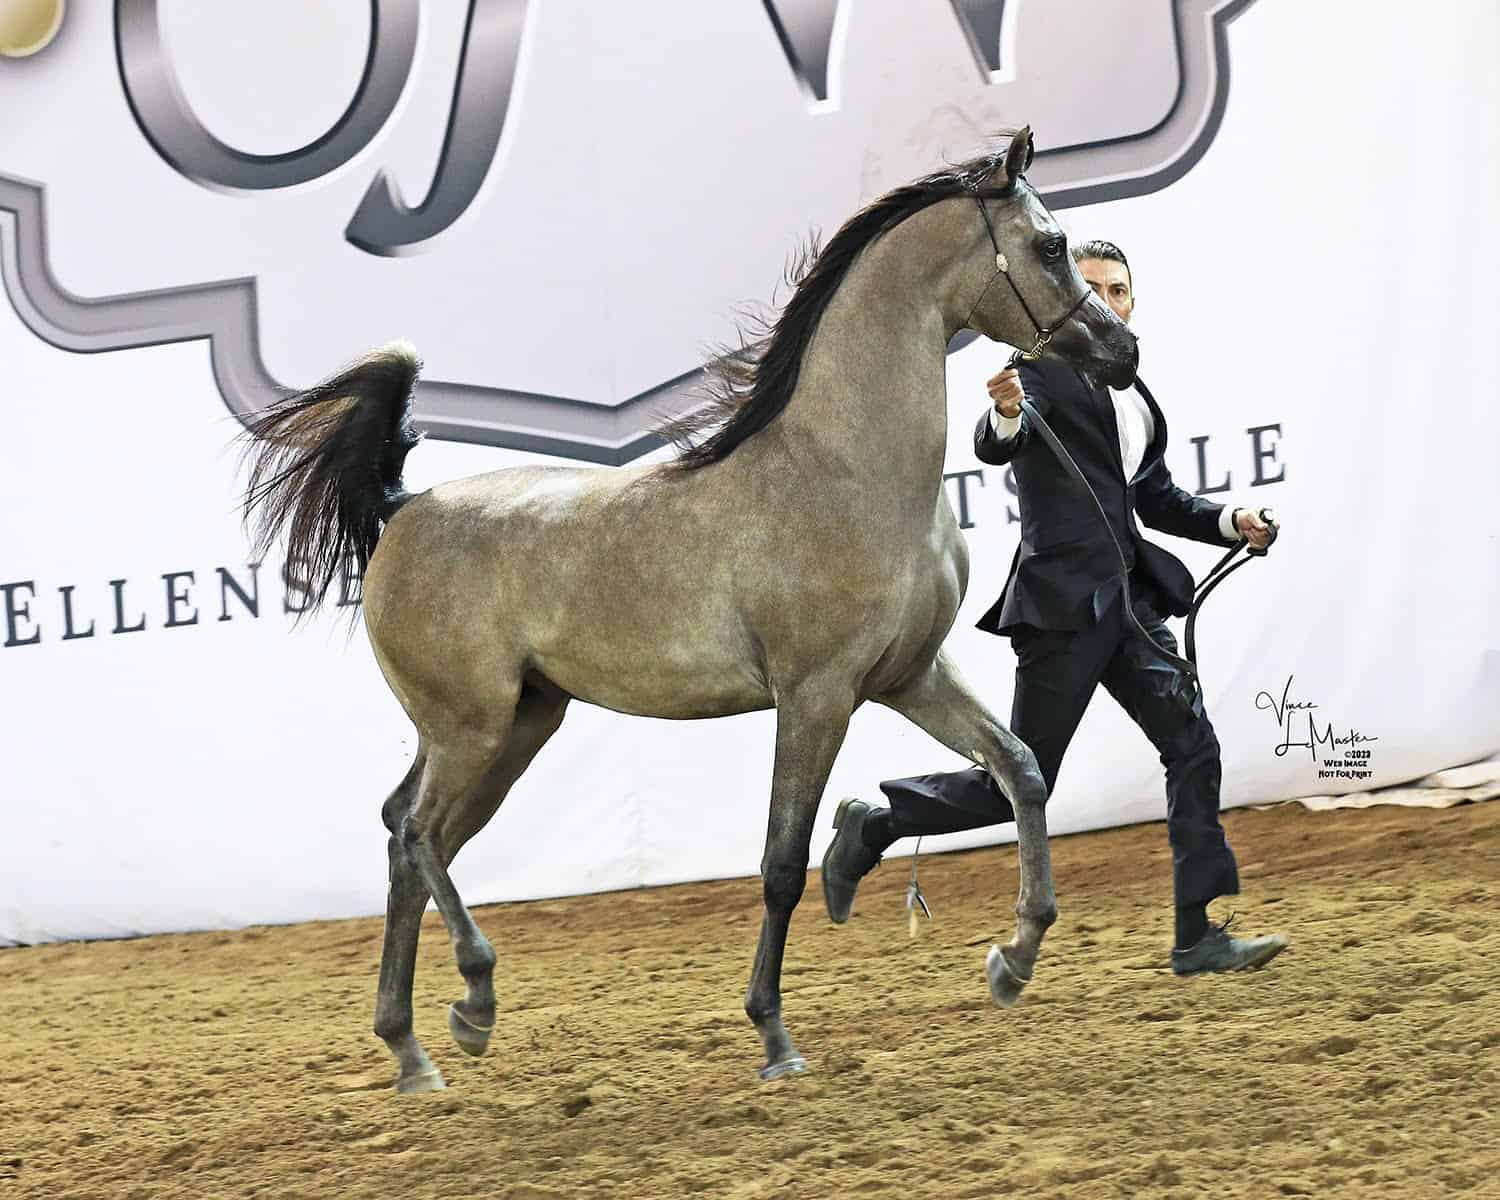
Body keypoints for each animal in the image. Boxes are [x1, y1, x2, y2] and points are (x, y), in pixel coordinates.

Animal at [240, 127, 1138, 1093]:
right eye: (1050, 245)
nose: (1122, 349)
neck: (847, 471)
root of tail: (403, 508)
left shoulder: (908, 677)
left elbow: (1020, 768)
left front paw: (1015, 958)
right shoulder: (816, 696)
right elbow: (781, 864)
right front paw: (776, 1039)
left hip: (518, 727)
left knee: (411, 836)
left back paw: (413, 1052)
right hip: (468, 729)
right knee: (415, 833)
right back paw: (473, 1003)